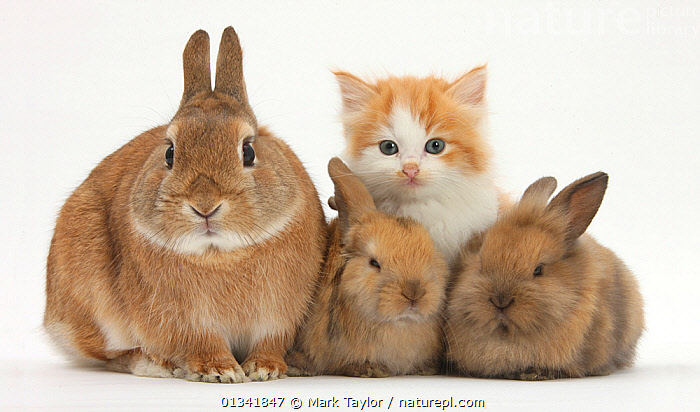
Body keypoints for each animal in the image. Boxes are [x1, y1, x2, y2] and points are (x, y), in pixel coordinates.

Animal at [43, 27, 327, 383]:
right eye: (170, 153)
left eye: (248, 151)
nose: (204, 206)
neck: (219, 254)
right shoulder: (183, 321)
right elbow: (201, 343)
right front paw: (220, 371)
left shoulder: (279, 316)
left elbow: (270, 342)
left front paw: (264, 369)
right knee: (113, 356)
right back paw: (155, 365)